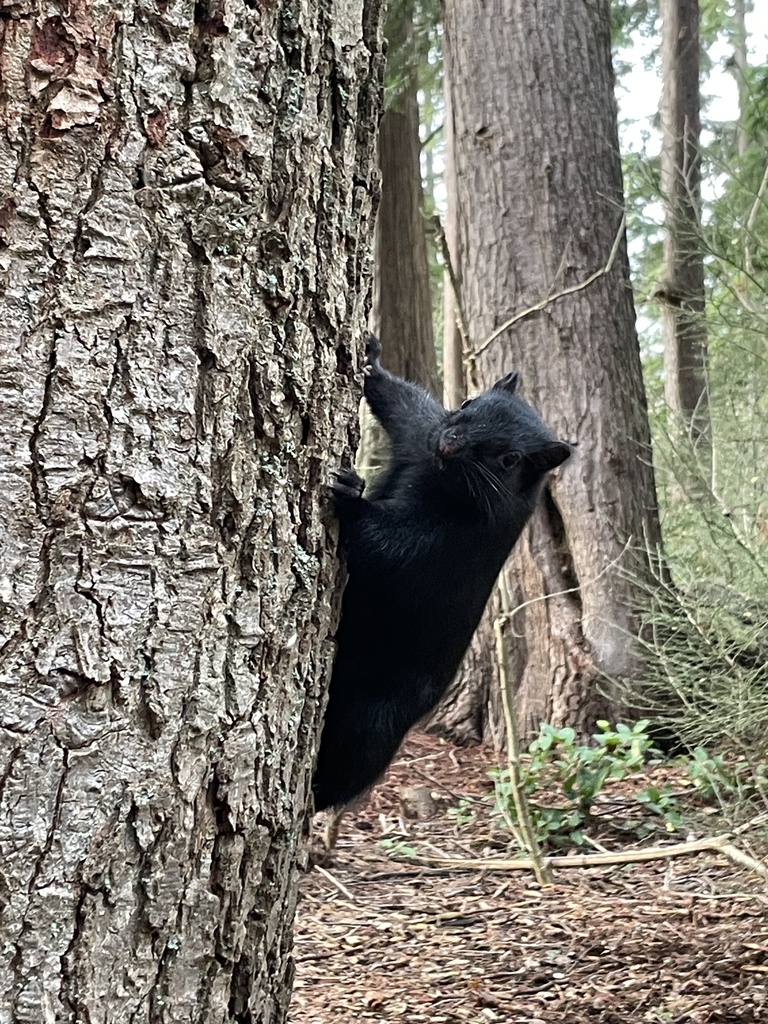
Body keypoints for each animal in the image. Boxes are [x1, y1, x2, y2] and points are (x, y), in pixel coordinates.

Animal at [312, 336, 571, 813]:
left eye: (509, 459)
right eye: (468, 402)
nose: (451, 442)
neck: (439, 475)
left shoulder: (450, 541)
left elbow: (387, 545)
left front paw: (351, 496)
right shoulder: (422, 436)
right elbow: (405, 404)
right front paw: (371, 359)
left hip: (373, 719)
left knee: (352, 763)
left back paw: (320, 791)